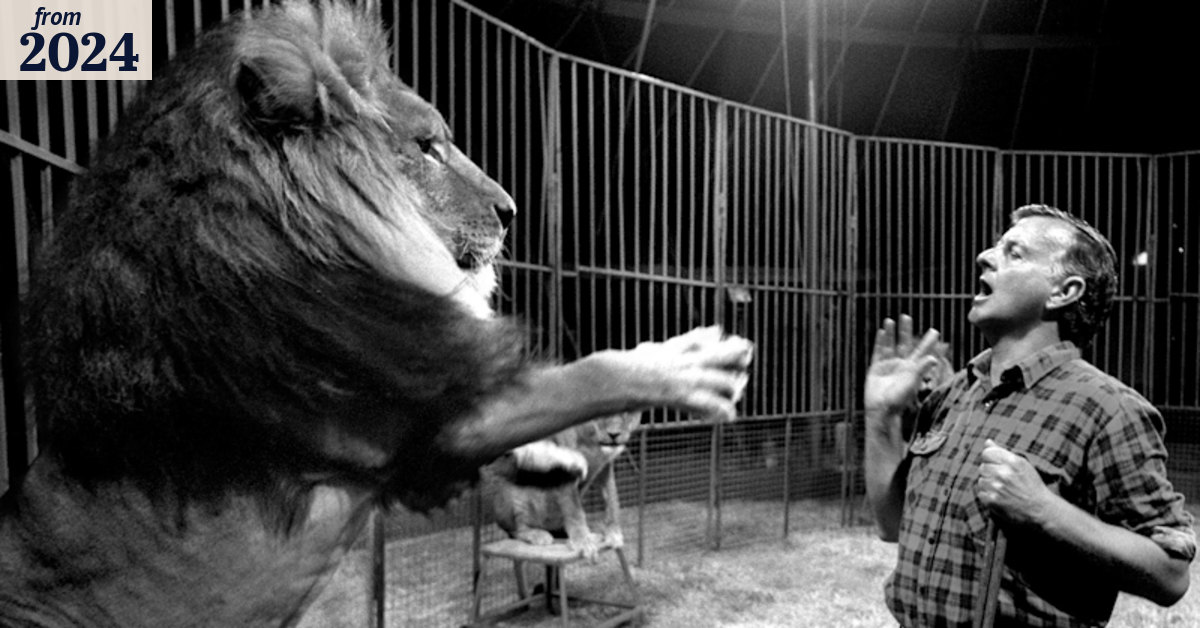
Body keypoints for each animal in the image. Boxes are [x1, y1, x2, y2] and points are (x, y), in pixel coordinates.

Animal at [482, 412, 641, 560]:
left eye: (627, 413)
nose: (614, 434)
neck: (592, 443)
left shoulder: (606, 466)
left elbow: (612, 498)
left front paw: (613, 532)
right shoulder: (565, 473)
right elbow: (575, 511)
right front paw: (583, 543)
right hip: (509, 492)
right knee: (514, 530)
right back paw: (536, 534)